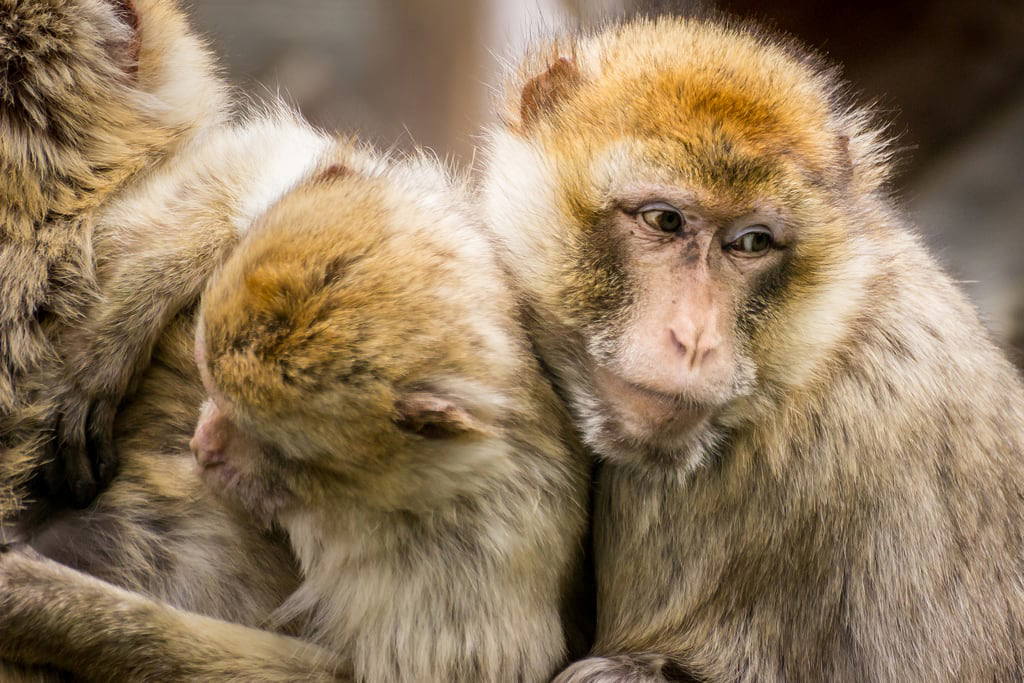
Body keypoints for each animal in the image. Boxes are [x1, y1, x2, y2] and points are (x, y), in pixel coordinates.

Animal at [0, 142, 593, 682]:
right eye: (212, 387)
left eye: (274, 445)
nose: (203, 447)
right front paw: (111, 343)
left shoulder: (471, 555)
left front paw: (44, 606)